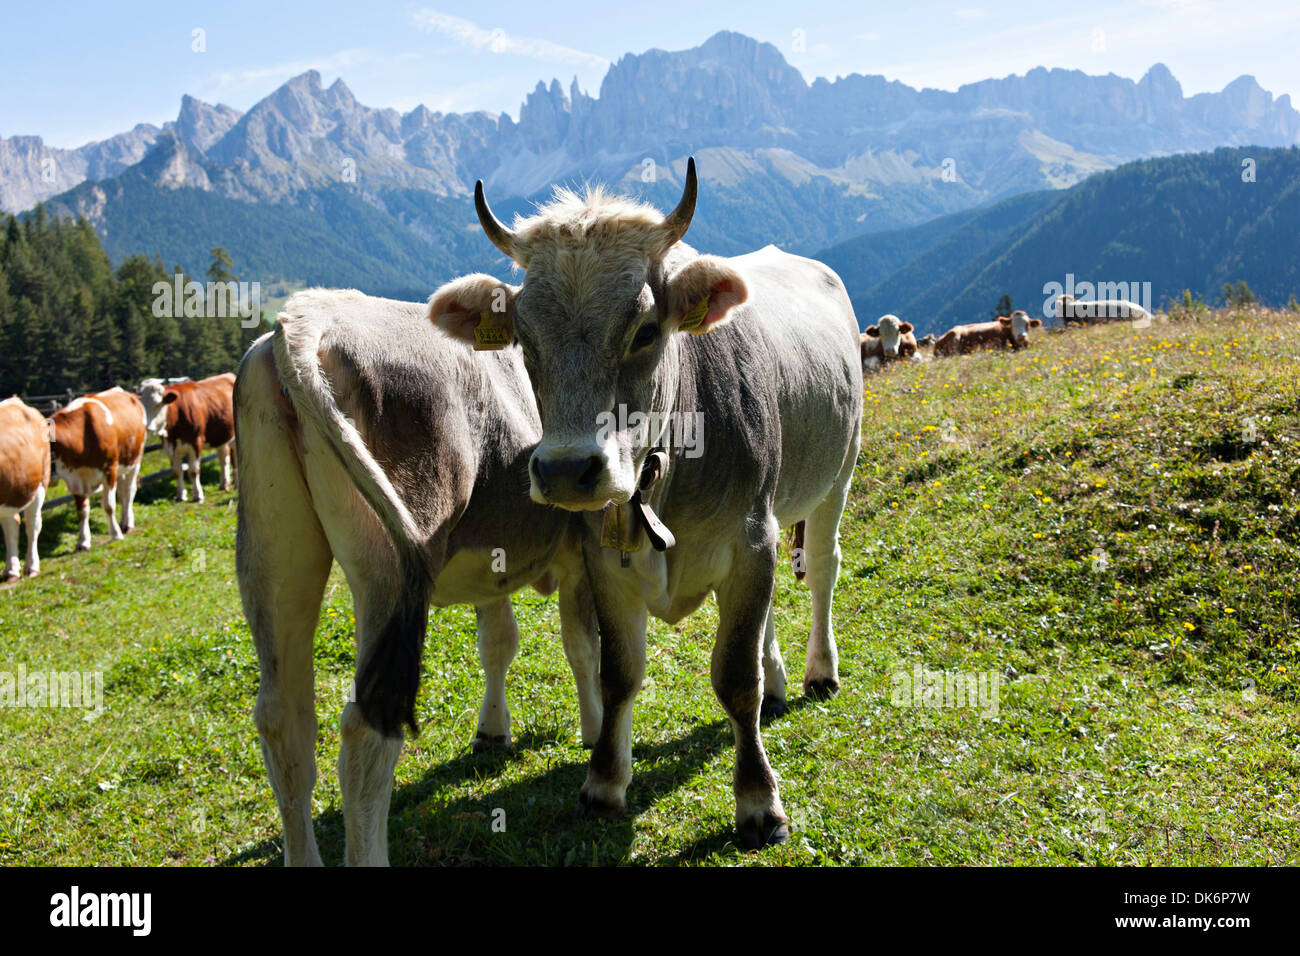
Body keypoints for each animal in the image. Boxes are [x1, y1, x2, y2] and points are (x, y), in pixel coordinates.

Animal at [47, 387, 146, 551]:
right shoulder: (75, 479)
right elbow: (82, 511)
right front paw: (83, 541)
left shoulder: (109, 470)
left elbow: (109, 505)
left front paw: (115, 534)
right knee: (123, 492)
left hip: (135, 458)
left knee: (130, 491)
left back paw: (127, 523)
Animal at [154, 373, 236, 502]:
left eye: (158, 404)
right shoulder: (170, 447)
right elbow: (177, 471)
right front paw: (180, 495)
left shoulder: (196, 442)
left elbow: (193, 470)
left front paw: (198, 495)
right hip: (221, 436)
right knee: (223, 458)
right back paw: (224, 484)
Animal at [235, 291, 602, 866]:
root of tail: (307, 317)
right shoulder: (582, 546)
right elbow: (581, 645)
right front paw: (595, 732)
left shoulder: (493, 561)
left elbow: (498, 641)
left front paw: (492, 731)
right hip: (387, 565)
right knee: (366, 728)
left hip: (273, 553)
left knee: (283, 721)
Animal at [432, 158, 863, 849]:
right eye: (523, 337)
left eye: (645, 329)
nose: (566, 470)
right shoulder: (611, 561)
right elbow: (619, 672)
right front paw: (605, 782)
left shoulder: (749, 541)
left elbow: (735, 676)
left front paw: (758, 801)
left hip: (837, 473)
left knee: (823, 567)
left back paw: (818, 670)